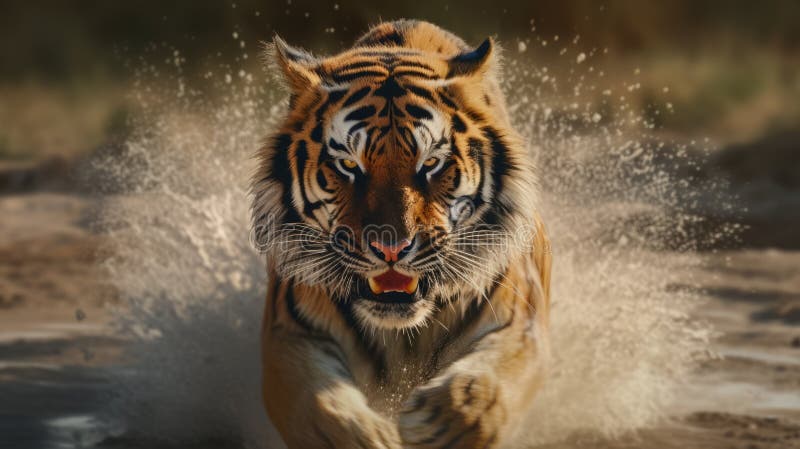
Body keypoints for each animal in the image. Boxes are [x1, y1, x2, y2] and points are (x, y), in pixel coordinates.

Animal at [251, 19, 551, 449]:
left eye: (431, 163)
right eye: (348, 165)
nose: (390, 248)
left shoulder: (519, 321)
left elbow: (487, 386)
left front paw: (441, 423)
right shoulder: (289, 334)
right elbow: (318, 402)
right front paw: (366, 438)